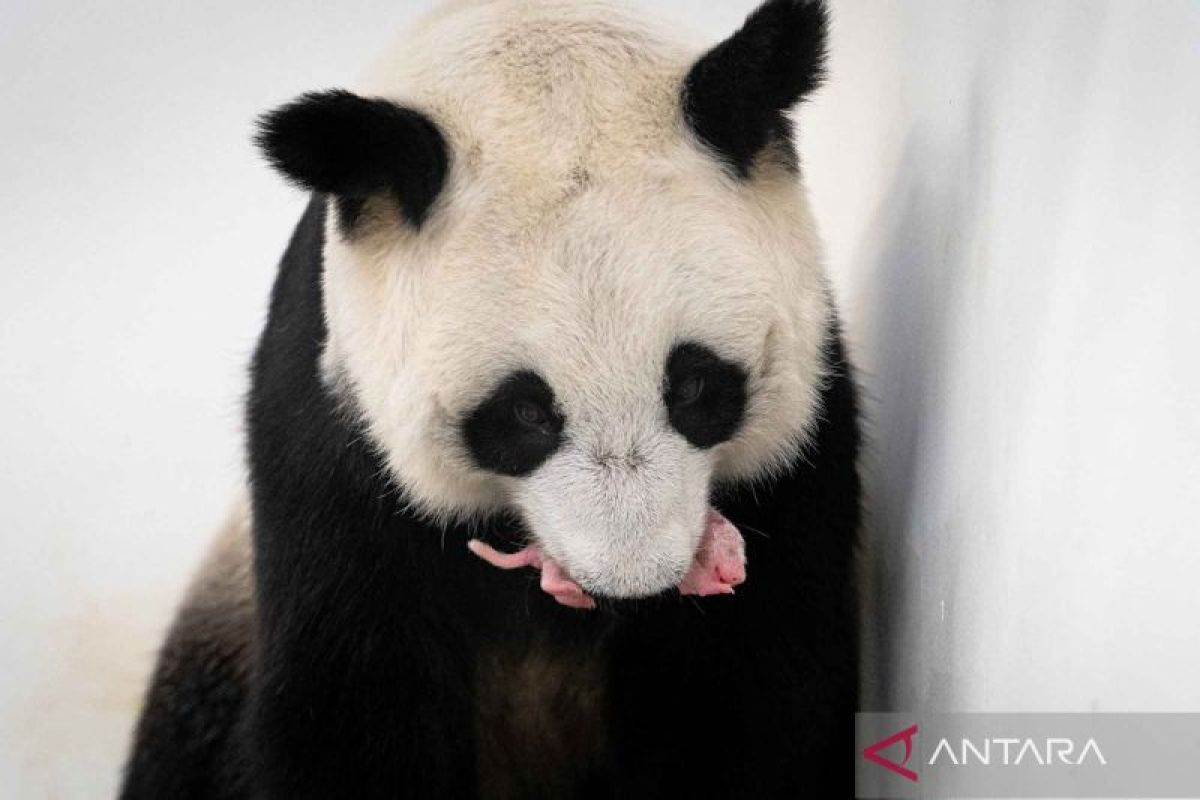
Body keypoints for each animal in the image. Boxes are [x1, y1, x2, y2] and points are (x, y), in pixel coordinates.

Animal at [121, 0, 861, 797]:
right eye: (525, 412)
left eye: (693, 384)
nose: (631, 583)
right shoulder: (332, 441)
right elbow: (353, 700)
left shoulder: (799, 447)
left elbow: (754, 695)